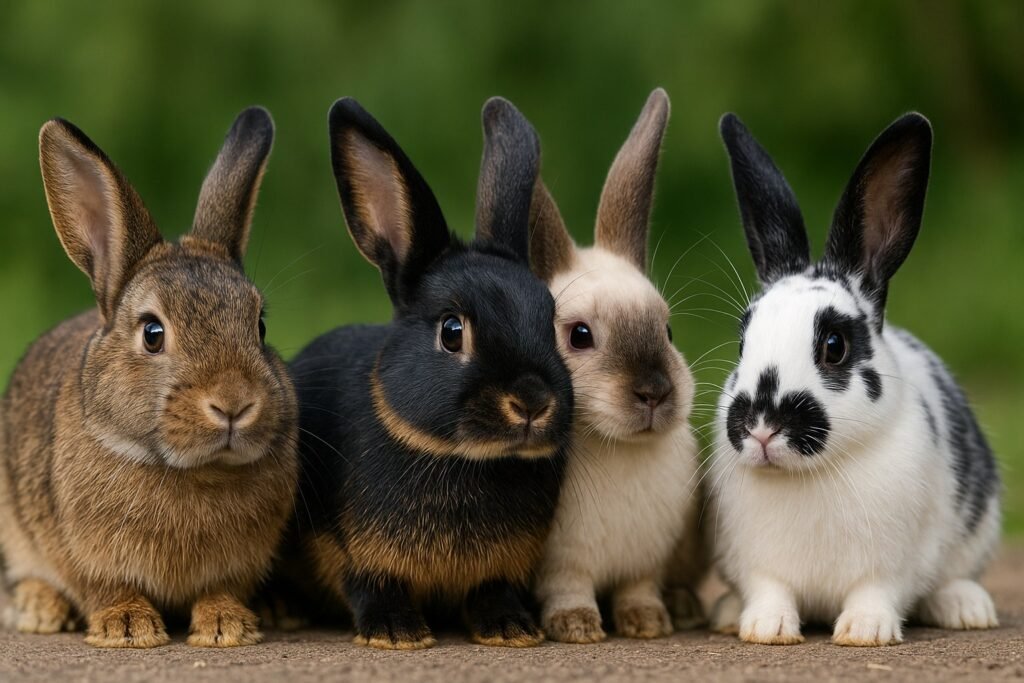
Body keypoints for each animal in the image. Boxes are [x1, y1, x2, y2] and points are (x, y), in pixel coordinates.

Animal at [0, 107, 299, 648]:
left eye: (260, 325)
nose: (234, 402)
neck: (192, 470)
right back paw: (40, 609)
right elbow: (107, 588)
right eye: (153, 334)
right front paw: (128, 628)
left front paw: (226, 626)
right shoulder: (87, 557)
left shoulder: (239, 564)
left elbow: (222, 589)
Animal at [287, 96, 574, 650]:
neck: (465, 458)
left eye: (551, 323)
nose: (532, 400)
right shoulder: (355, 557)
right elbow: (372, 587)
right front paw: (396, 633)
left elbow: (491, 593)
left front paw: (512, 630)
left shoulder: (501, 570)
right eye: (451, 330)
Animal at [528, 88, 704, 643]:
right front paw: (578, 627)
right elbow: (569, 591)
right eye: (579, 335)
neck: (618, 448)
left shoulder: (644, 562)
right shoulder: (562, 566)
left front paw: (648, 622)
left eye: (667, 331)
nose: (654, 392)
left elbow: (638, 590)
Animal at [707, 112, 1001, 646]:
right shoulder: (756, 564)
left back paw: (967, 608)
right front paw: (765, 628)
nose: (760, 427)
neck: (811, 475)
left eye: (834, 346)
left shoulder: (891, 567)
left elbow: (875, 593)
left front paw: (865, 631)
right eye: (743, 341)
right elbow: (770, 591)